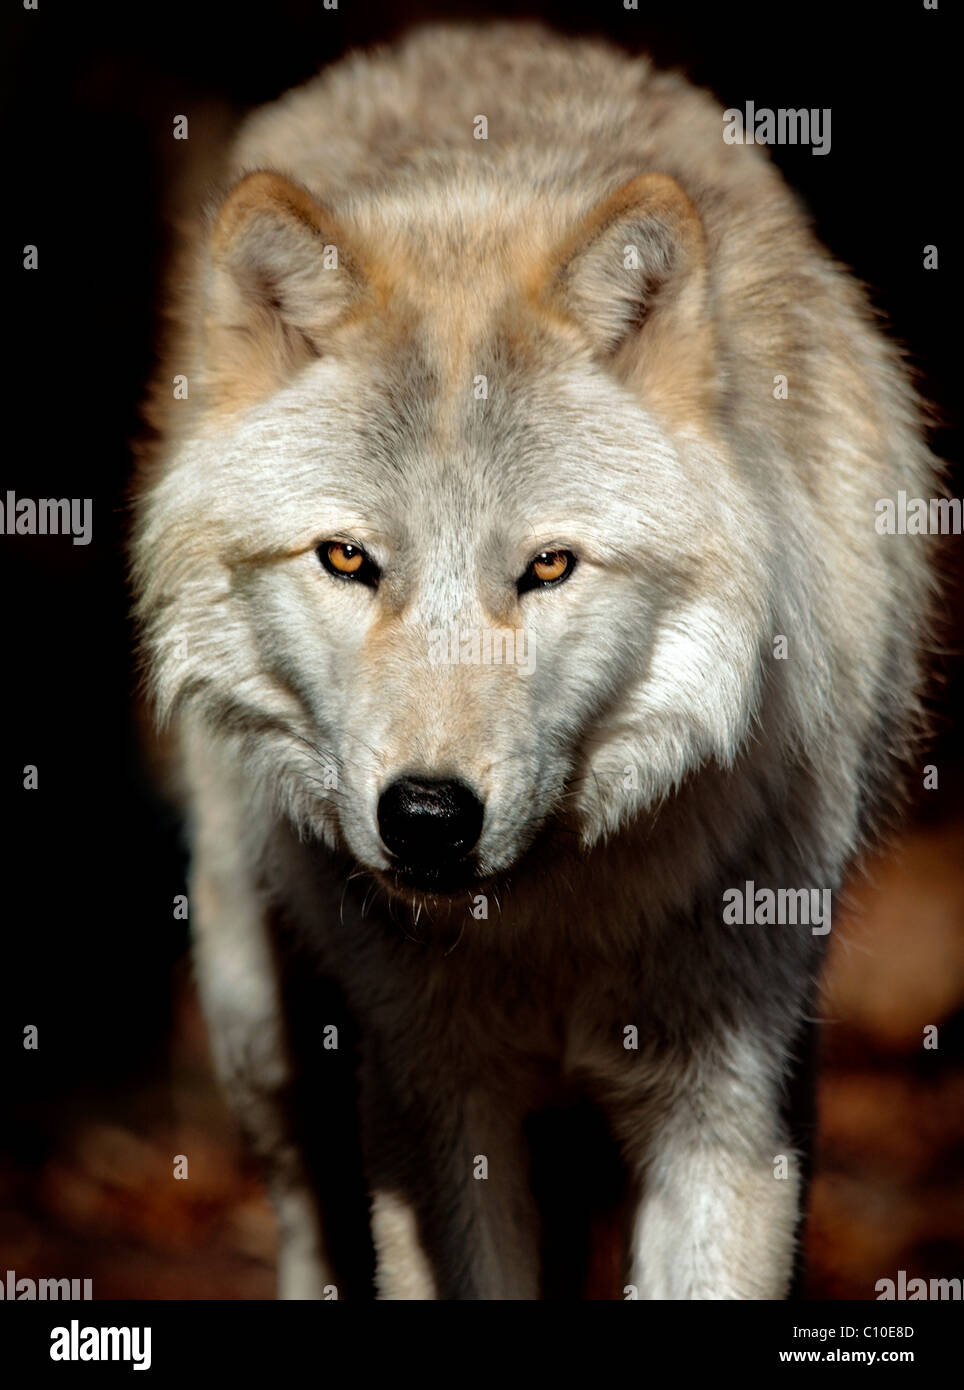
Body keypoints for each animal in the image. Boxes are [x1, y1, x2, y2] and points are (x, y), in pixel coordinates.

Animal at [133, 23, 938, 1298]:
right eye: (348, 558)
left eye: (548, 567)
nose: (425, 816)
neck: (547, 919)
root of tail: (461, 32)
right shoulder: (433, 1099)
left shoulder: (723, 1118)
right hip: (262, 1030)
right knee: (306, 1218)